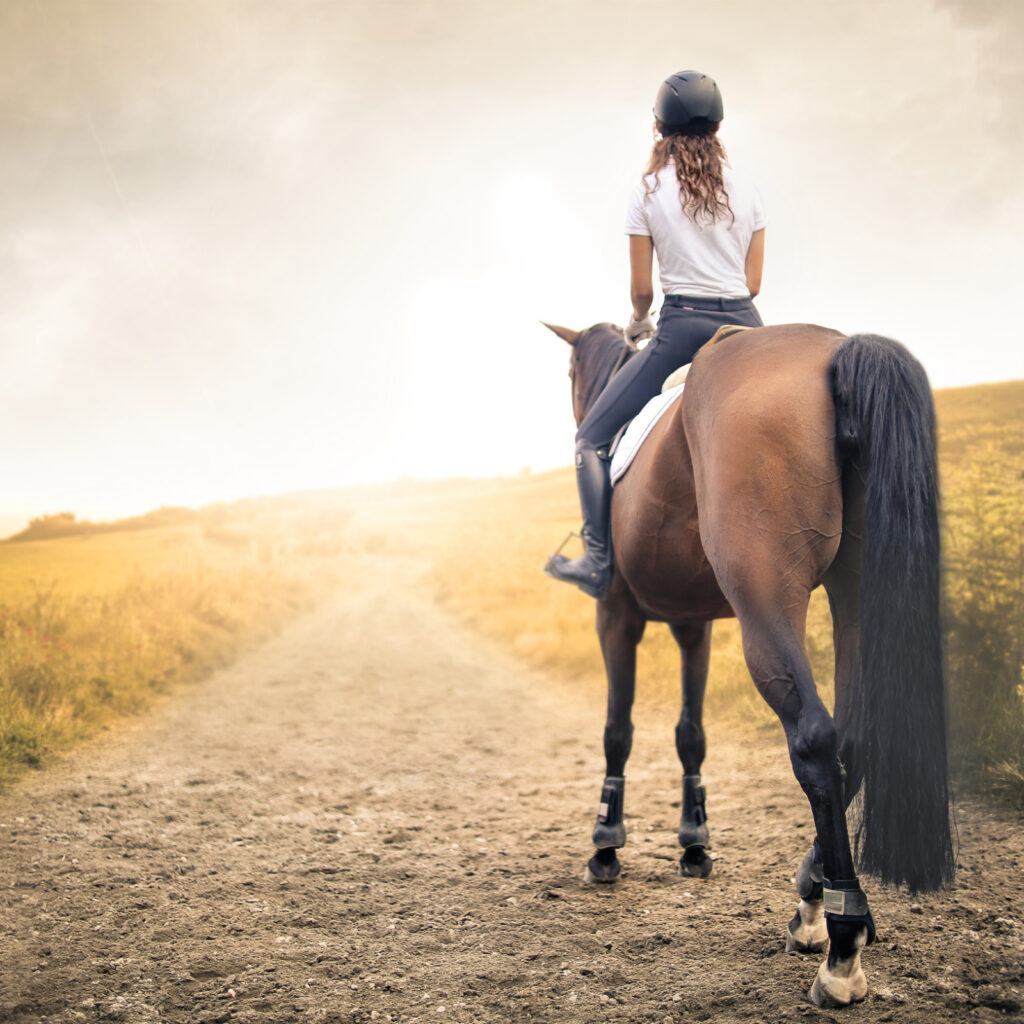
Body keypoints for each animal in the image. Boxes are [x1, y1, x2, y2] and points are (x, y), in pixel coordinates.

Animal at [543, 320, 953, 1008]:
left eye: (572, 374)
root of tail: (835, 350)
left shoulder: (617, 616)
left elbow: (618, 731)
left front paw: (606, 846)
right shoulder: (695, 625)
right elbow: (690, 733)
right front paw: (693, 843)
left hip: (766, 595)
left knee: (815, 739)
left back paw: (840, 947)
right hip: (856, 588)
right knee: (857, 739)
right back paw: (815, 903)